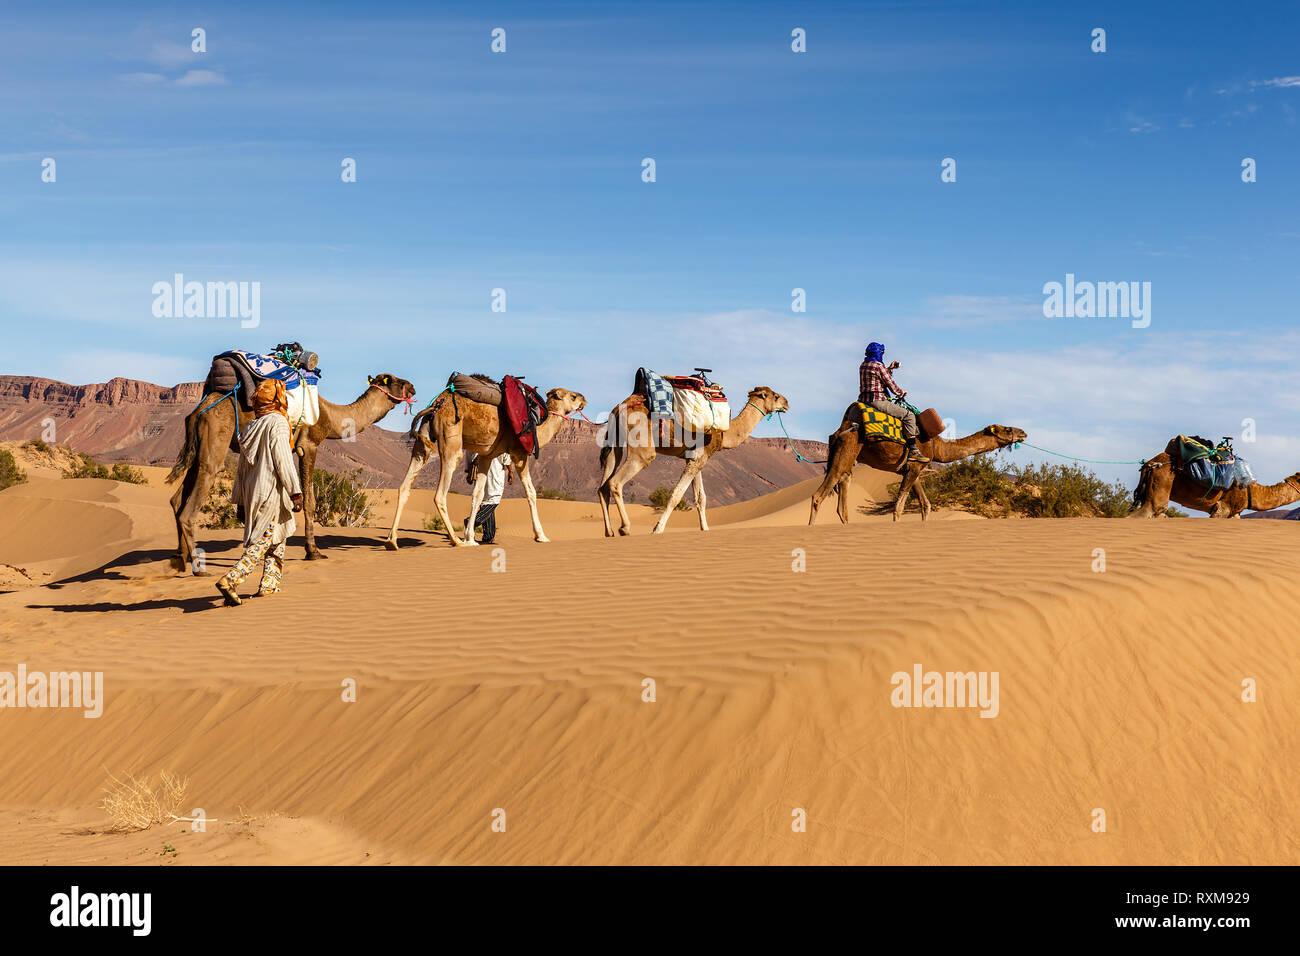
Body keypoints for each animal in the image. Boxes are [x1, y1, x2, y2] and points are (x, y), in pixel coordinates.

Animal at [168, 372, 416, 572]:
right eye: (396, 380)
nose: (413, 387)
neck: (330, 415)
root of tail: (199, 411)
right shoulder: (309, 445)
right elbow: (310, 501)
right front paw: (313, 552)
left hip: (197, 447)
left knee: (177, 498)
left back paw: (180, 560)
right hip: (215, 439)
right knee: (192, 501)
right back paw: (198, 568)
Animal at [384, 382, 587, 548]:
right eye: (573, 396)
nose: (584, 399)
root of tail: (436, 406)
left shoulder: (487, 456)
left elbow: (478, 494)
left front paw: (470, 537)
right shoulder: (520, 454)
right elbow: (531, 493)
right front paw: (541, 536)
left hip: (421, 444)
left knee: (404, 486)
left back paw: (392, 540)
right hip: (451, 442)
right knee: (440, 494)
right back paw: (455, 540)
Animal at [596, 386, 790, 536]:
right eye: (776, 396)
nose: (787, 403)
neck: (726, 433)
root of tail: (620, 407)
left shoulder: (695, 458)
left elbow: (700, 498)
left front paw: (705, 529)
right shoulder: (698, 458)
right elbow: (675, 496)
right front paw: (657, 529)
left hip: (615, 443)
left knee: (603, 486)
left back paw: (609, 532)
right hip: (642, 448)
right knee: (615, 482)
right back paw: (625, 528)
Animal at [808, 405, 1026, 524]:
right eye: (1007, 429)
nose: (1023, 432)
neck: (937, 447)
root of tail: (839, 431)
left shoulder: (914, 470)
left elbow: (925, 505)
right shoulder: (913, 468)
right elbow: (898, 507)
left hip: (848, 459)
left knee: (842, 502)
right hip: (847, 449)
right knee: (819, 495)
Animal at [1131, 438, 1300, 517]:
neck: (1251, 491)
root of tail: (1150, 464)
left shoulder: (1235, 513)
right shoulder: (1223, 508)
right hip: (1161, 480)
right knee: (1153, 509)